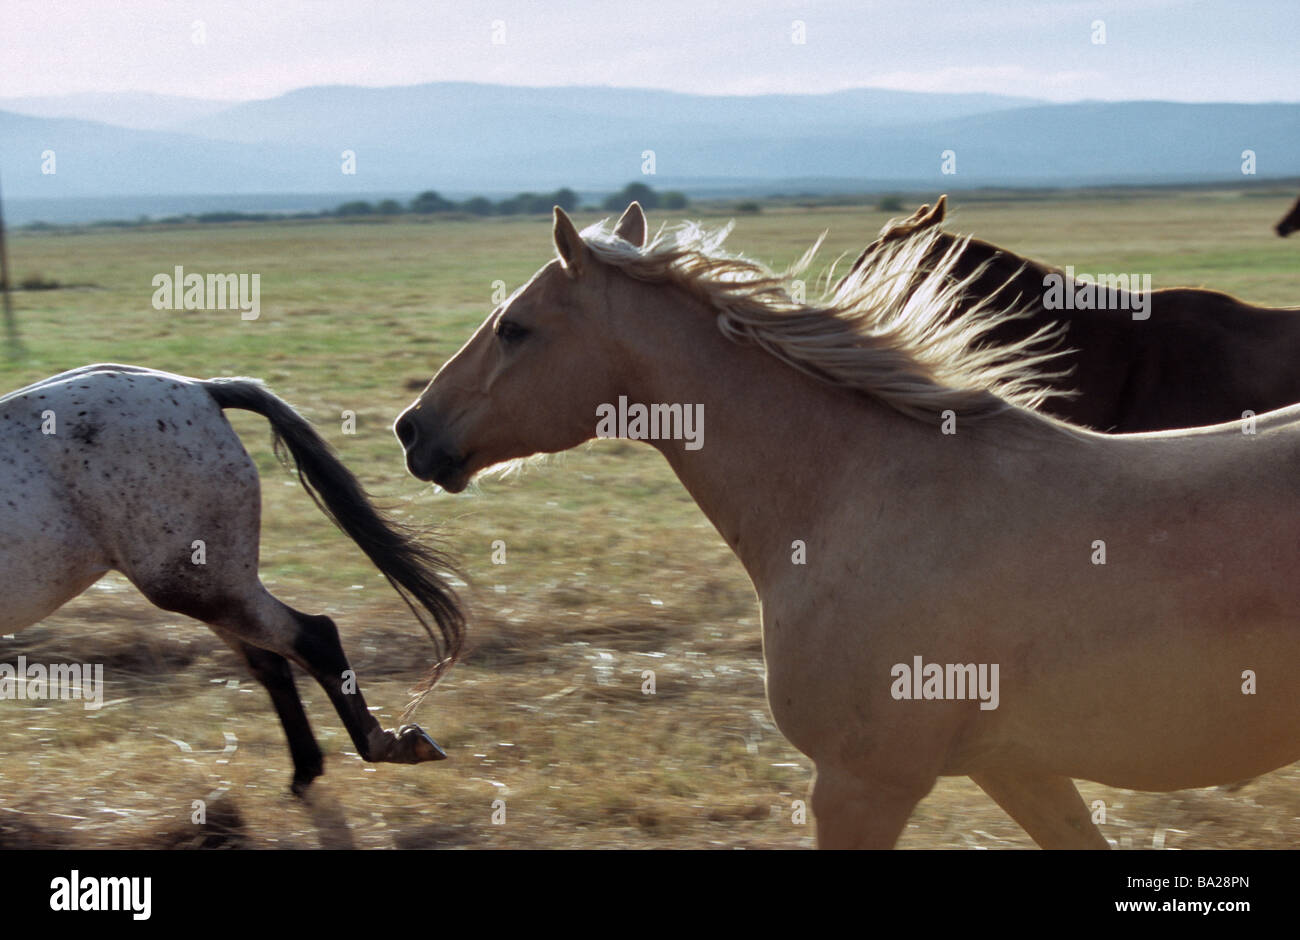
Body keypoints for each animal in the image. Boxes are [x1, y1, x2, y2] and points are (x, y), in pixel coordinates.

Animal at [1, 364, 465, 793]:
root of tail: (200, 389)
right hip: (211, 585)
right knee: (272, 659)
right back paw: (307, 770)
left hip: (195, 585)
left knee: (313, 636)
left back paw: (382, 746)